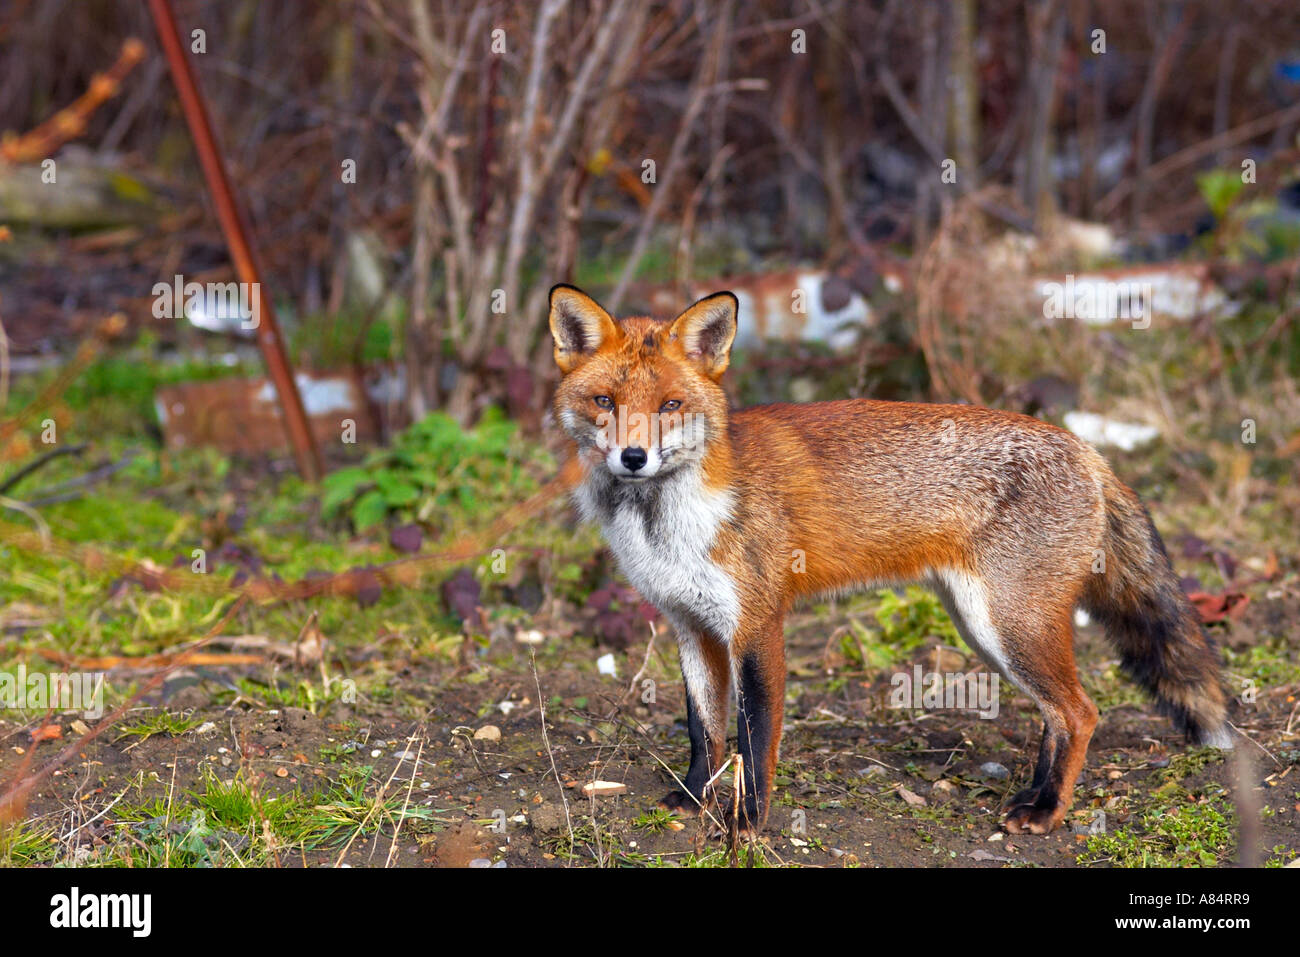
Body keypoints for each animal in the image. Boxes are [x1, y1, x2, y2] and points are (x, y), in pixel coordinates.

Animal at [547, 282, 1233, 835]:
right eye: (606, 401)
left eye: (669, 406)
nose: (633, 457)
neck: (666, 521)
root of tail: (1087, 449)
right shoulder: (689, 623)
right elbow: (704, 728)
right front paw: (693, 799)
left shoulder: (756, 625)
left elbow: (756, 735)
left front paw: (748, 822)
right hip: (986, 629)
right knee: (1057, 715)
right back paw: (1034, 796)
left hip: (1007, 627)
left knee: (1082, 712)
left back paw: (1045, 811)